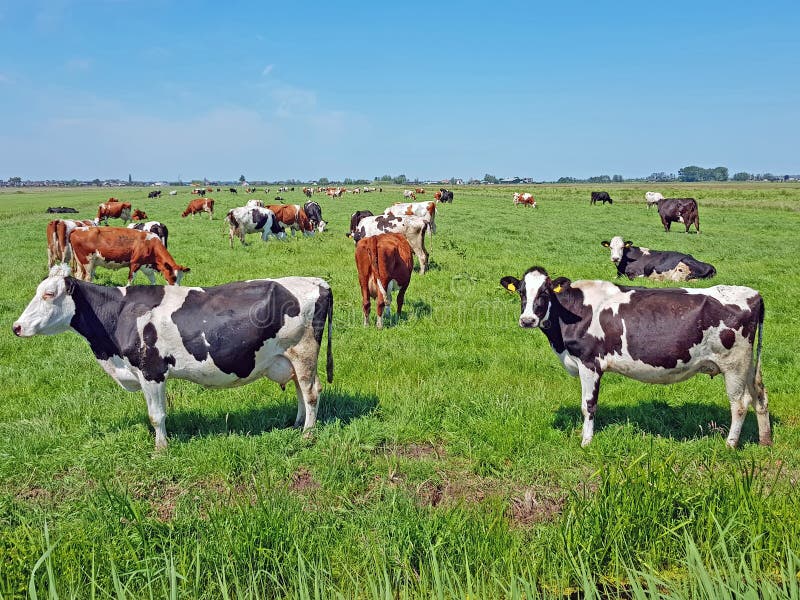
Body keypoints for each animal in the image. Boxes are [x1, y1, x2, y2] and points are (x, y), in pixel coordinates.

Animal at [13, 265, 334, 450]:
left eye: (49, 294)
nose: (16, 327)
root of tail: (318, 281)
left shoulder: (151, 370)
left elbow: (156, 415)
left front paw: (161, 449)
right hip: (289, 357)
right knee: (300, 390)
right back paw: (296, 424)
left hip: (303, 351)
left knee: (311, 391)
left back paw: (307, 434)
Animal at [499, 266, 770, 448]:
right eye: (521, 292)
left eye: (545, 292)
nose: (527, 320)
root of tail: (754, 293)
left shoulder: (589, 363)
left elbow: (588, 406)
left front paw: (586, 441)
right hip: (747, 365)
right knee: (760, 396)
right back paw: (765, 441)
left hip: (734, 364)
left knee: (739, 404)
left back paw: (730, 445)